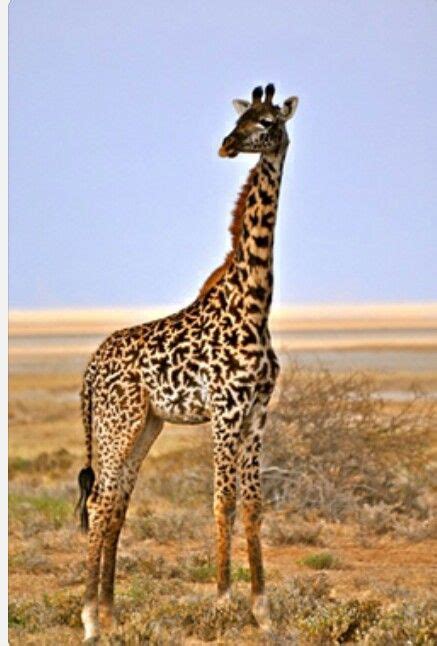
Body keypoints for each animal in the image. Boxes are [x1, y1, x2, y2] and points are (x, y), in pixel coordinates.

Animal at [77, 83, 298, 641]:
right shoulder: (223, 411)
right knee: (100, 501)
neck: (253, 303)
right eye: (241, 119)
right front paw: (222, 603)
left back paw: (110, 613)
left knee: (116, 504)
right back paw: (89, 619)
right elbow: (222, 501)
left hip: (146, 425)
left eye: (268, 122)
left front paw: (262, 611)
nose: (227, 144)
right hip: (116, 423)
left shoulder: (257, 412)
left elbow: (254, 504)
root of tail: (89, 371)